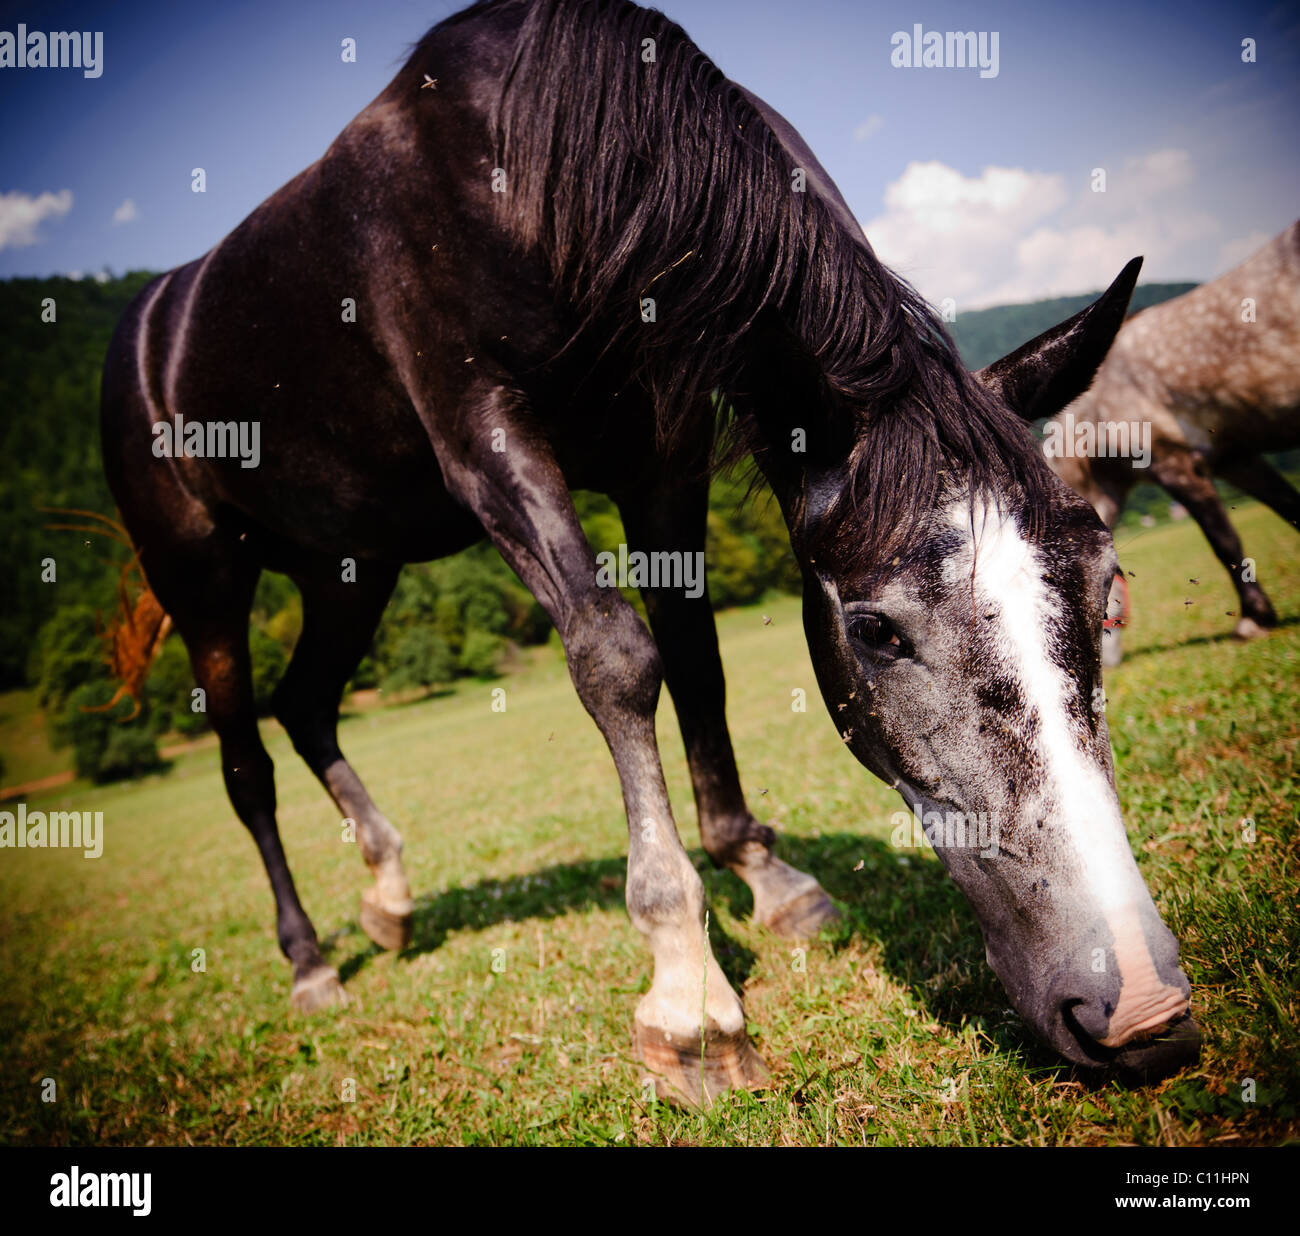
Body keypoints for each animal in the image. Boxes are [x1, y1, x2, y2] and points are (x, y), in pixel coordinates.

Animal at [100, 0, 1199, 1105]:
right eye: (877, 632)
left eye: (1105, 591)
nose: (1141, 1009)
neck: (531, 164)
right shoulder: (488, 443)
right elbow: (618, 659)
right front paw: (689, 996)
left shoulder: (662, 458)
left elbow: (697, 660)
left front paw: (766, 878)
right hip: (203, 579)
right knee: (246, 762)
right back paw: (311, 962)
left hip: (350, 567)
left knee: (307, 707)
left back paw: (390, 899)